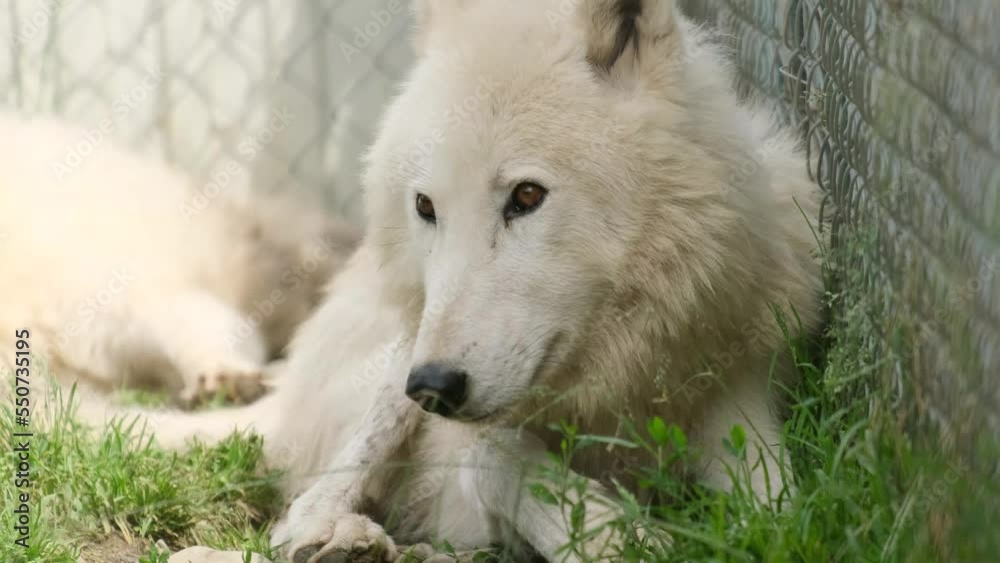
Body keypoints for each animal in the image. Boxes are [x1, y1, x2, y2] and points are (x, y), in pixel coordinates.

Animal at [84, 0, 823, 561]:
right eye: (426, 206)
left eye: (527, 195)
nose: (433, 385)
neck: (616, 385)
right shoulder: (463, 438)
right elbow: (493, 455)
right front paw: (619, 533)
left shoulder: (740, 388)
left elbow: (779, 513)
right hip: (394, 356)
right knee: (299, 512)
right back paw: (340, 538)